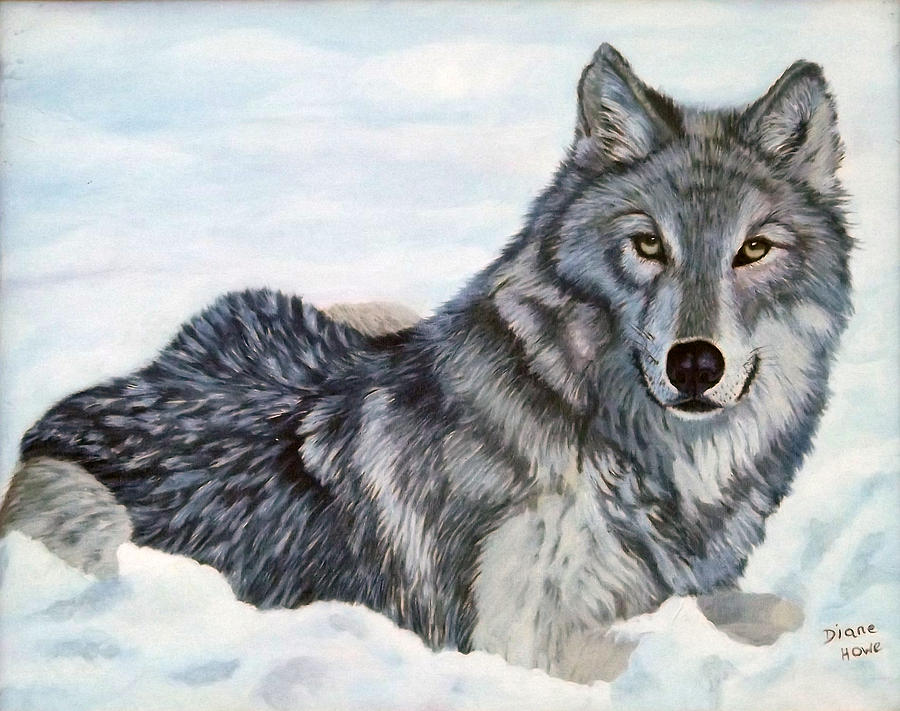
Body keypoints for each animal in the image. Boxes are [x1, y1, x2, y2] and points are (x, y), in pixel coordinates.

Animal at [2, 44, 851, 683]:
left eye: (753, 249)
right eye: (647, 244)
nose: (696, 365)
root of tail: (139, 371)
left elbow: (752, 607)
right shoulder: (527, 641)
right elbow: (689, 636)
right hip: (93, 521)